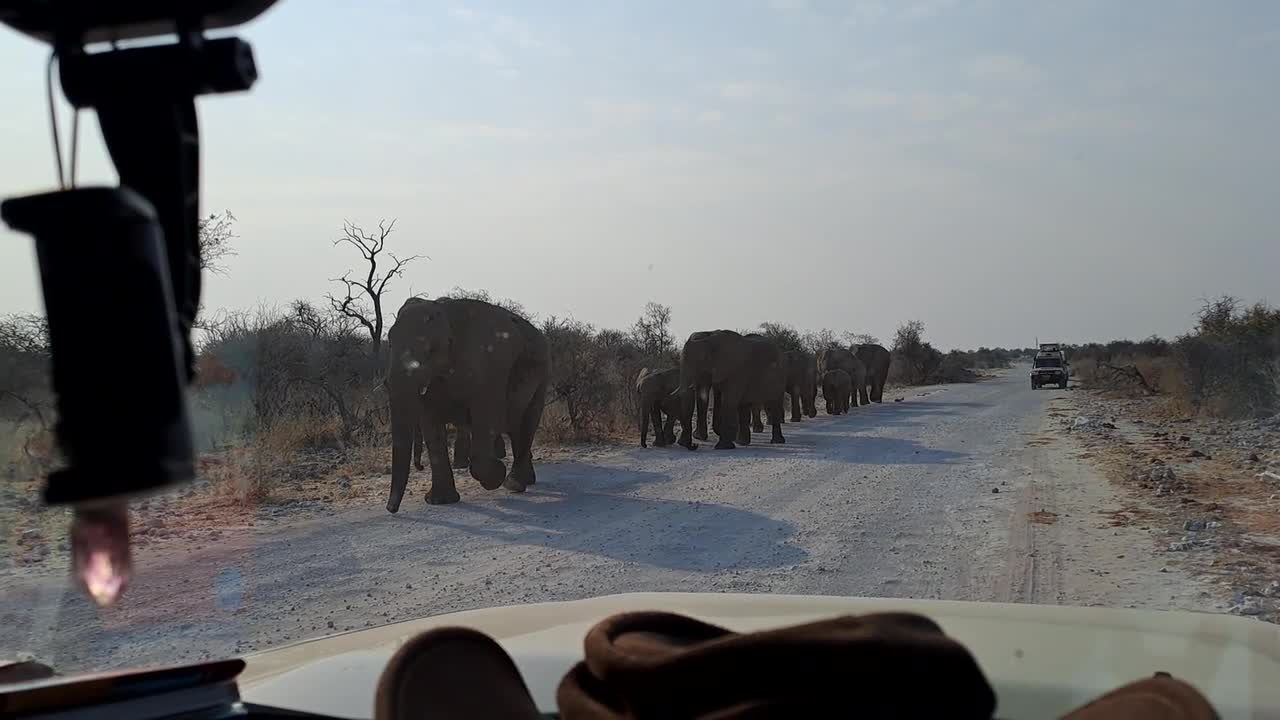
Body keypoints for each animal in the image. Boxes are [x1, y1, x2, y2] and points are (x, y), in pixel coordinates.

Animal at [385, 296, 550, 512]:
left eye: (431, 350)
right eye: (389, 343)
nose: (391, 509)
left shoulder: (488, 367)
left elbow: (485, 415)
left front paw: (496, 474)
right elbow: (431, 424)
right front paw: (440, 501)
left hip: (543, 374)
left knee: (527, 421)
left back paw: (513, 483)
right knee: (516, 425)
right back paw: (524, 480)